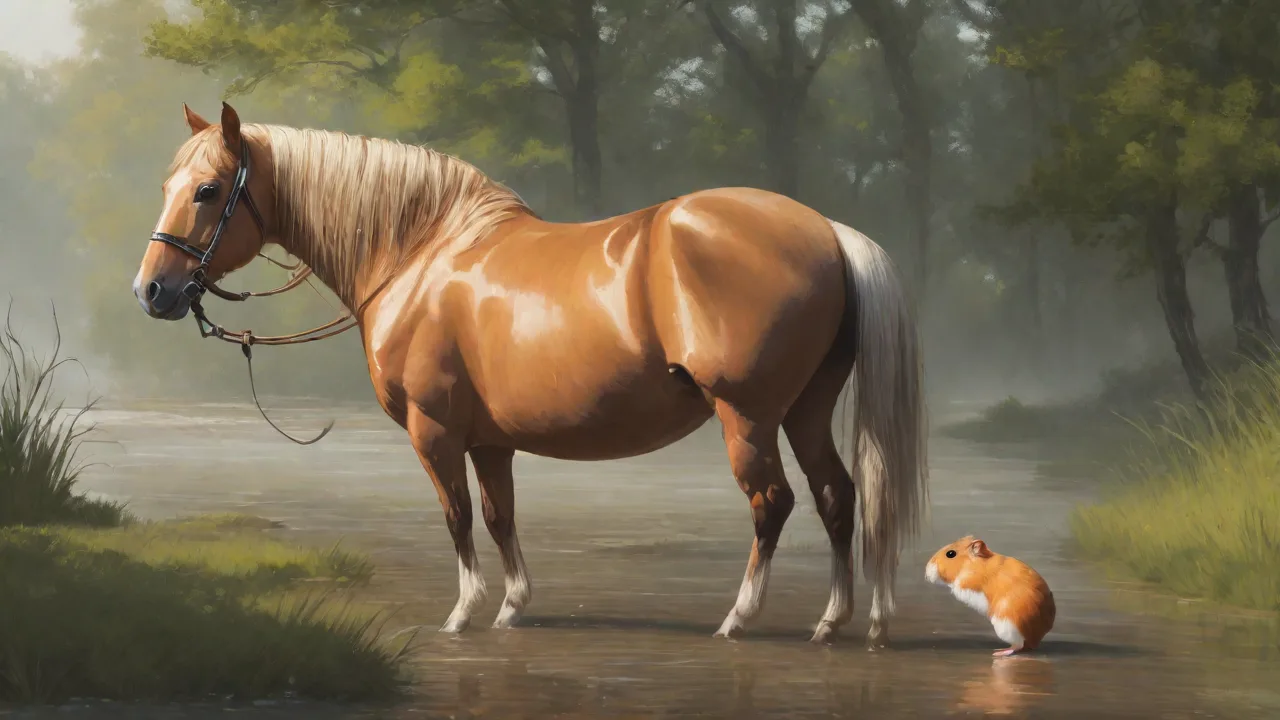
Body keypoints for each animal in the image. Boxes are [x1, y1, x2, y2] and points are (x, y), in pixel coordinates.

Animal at [925, 536, 1056, 656]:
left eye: (950, 554)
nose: (926, 573)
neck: (972, 564)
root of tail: (1035, 640)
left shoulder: (968, 582)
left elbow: (957, 586)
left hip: (1008, 626)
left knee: (1018, 645)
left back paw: (999, 652)